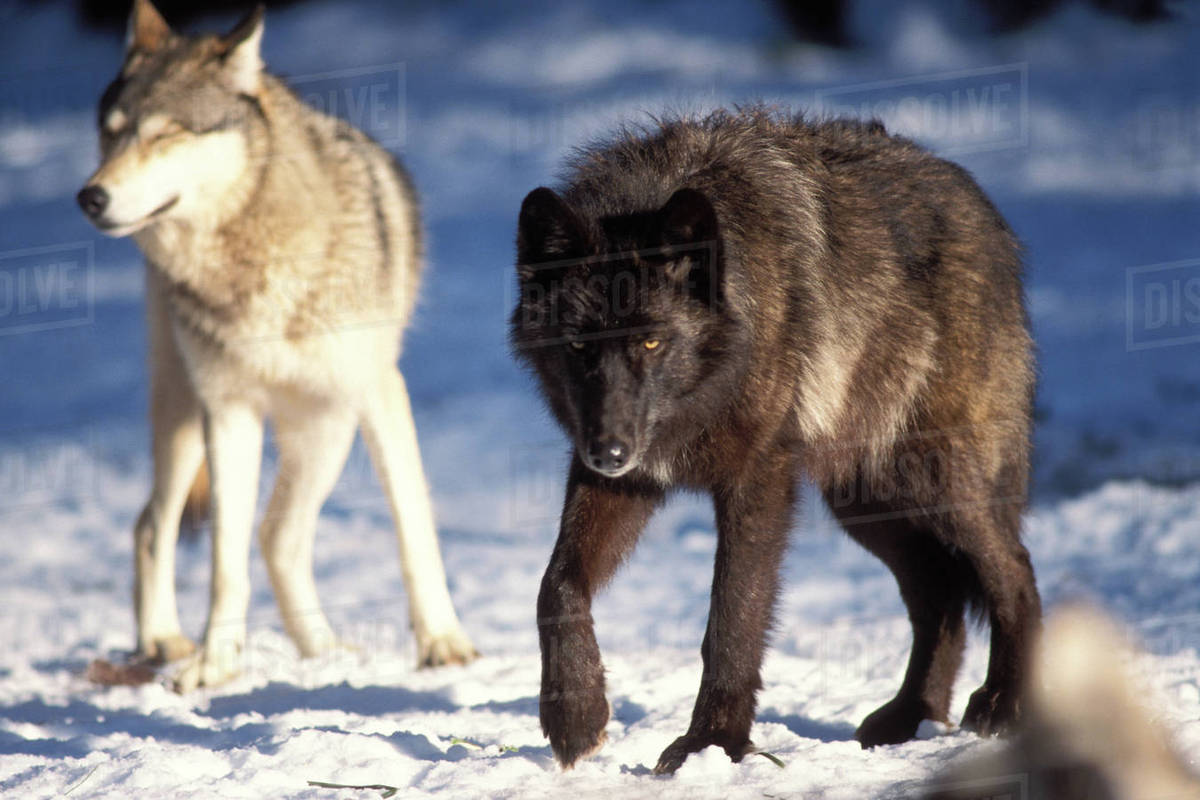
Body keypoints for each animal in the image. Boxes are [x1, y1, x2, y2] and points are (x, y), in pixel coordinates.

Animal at [77, 0, 476, 691]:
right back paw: (164, 640)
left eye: (165, 134)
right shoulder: (228, 413)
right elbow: (224, 563)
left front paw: (443, 645)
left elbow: (414, 530)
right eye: (111, 133)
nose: (90, 196)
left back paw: (327, 653)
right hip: (188, 421)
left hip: (326, 428)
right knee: (155, 525)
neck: (254, 259)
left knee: (278, 536)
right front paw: (215, 665)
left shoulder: (380, 392)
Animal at [511, 108, 1041, 772]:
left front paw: (711, 744)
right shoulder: (625, 478)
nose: (608, 453)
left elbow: (733, 617)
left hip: (936, 481)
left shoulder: (757, 479)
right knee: (940, 596)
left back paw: (1003, 702)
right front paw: (575, 715)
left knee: (1014, 570)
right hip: (866, 504)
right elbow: (555, 585)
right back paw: (909, 718)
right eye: (579, 345)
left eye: (653, 342)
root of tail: (984, 208)